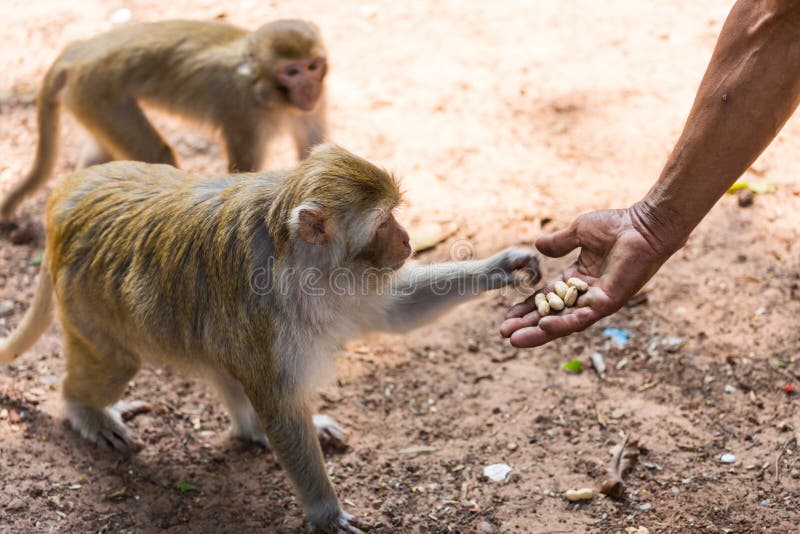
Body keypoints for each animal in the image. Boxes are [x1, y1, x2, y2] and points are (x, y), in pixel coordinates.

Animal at [0, 18, 328, 221]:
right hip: (97, 92)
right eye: (291, 72)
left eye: (312, 66)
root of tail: (80, 49)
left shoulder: (314, 107)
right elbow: (243, 172)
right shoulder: (243, 112)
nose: (309, 88)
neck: (271, 95)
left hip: (87, 102)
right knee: (157, 154)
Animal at [0, 145, 539, 532]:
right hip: (89, 302)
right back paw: (85, 409)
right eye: (383, 221)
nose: (407, 240)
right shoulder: (267, 307)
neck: (298, 257)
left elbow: (394, 313)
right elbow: (280, 403)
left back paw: (251, 429)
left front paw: (504, 265)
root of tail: (63, 199)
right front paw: (324, 512)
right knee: (115, 364)